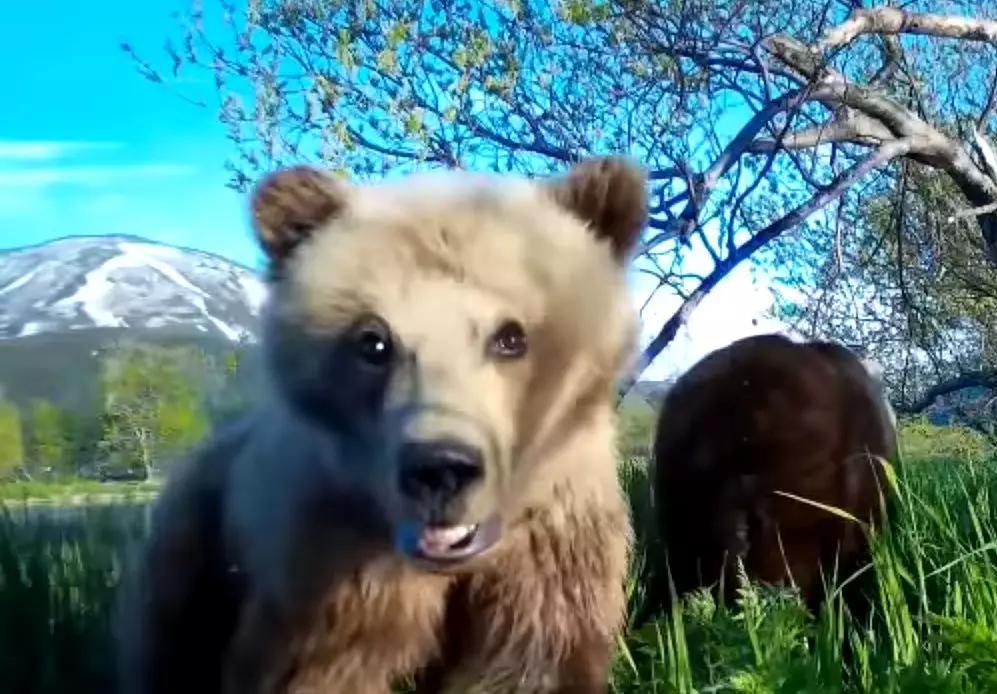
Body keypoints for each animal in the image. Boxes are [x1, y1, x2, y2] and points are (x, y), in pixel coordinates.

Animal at [115, 156, 644, 694]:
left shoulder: (550, 547)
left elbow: (532, 664)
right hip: (197, 542)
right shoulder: (330, 561)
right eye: (373, 340)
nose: (440, 468)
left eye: (511, 336)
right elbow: (317, 668)